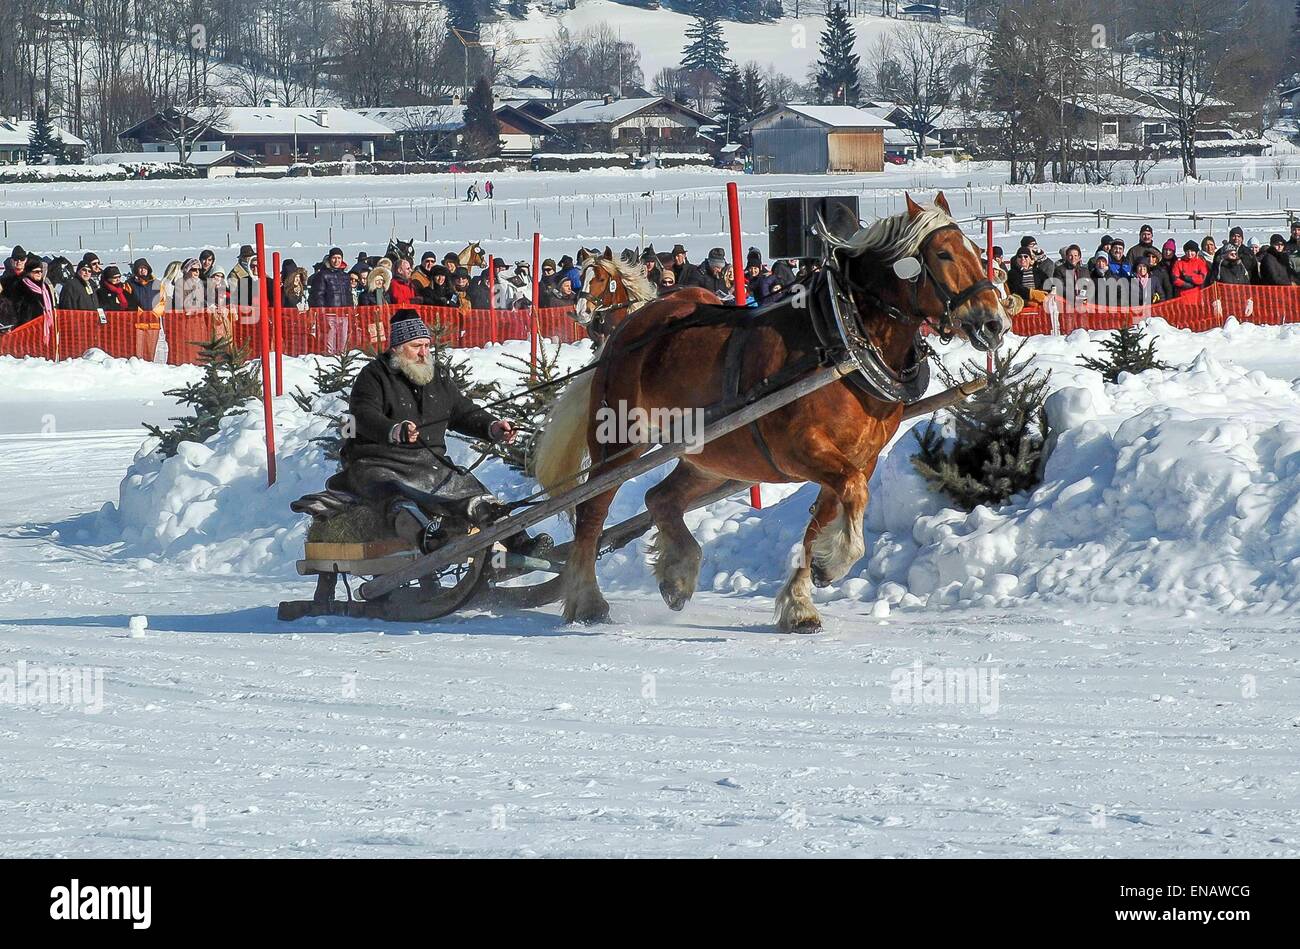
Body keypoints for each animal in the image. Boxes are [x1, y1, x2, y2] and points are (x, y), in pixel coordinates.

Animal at [533, 193, 1010, 632]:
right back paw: (586, 601)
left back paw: (678, 575)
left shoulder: (858, 458)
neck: (841, 340)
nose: (994, 322)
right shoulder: (802, 450)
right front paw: (833, 565)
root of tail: (623, 335)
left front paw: (801, 601)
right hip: (619, 443)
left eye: (974, 247)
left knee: (659, 498)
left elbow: (823, 518)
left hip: (713, 457)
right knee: (591, 514)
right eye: (943, 254)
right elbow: (852, 496)